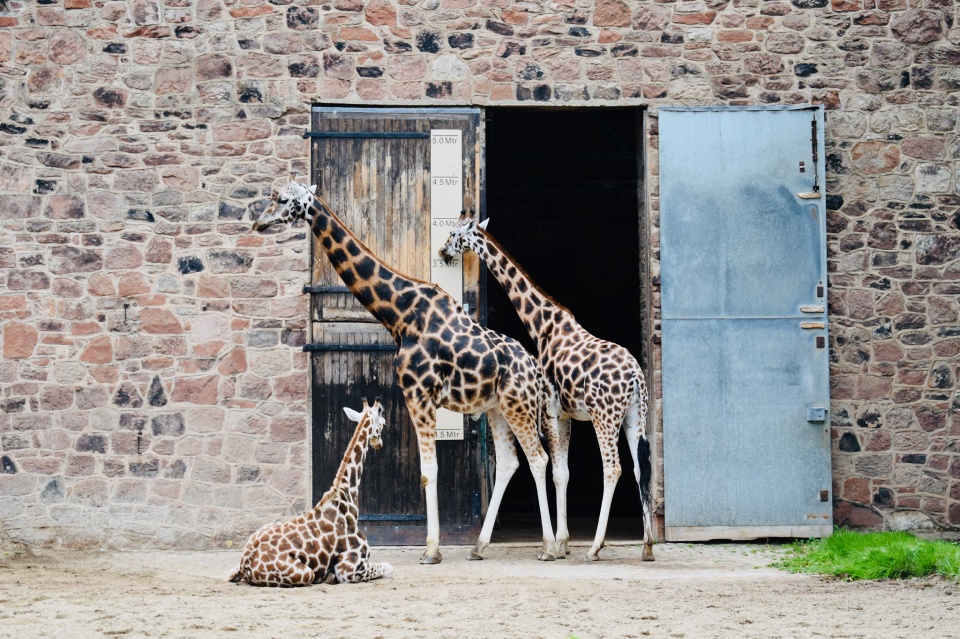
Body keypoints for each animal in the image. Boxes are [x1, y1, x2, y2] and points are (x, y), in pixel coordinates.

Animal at [228, 399, 394, 586]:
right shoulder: (349, 569)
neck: (347, 498)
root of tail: (246, 563)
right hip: (305, 573)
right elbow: (389, 567)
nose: (378, 444)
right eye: (382, 423)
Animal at [251, 181, 561, 564]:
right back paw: (479, 546)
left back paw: (549, 547)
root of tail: (535, 369)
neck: (399, 313)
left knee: (538, 459)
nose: (259, 223)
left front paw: (431, 550)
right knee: (508, 463)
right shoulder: (421, 396)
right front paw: (437, 547)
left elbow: (428, 472)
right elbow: (432, 470)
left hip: (519, 406)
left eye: (282, 199)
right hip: (497, 408)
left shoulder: (418, 394)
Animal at [439, 211, 656, 562]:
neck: (542, 324)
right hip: (635, 416)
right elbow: (564, 472)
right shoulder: (566, 415)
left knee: (613, 469)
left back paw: (595, 547)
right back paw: (648, 546)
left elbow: (554, 470)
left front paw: (555, 544)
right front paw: (563, 542)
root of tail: (636, 377)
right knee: (640, 467)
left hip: (605, 417)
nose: (443, 251)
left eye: (455, 234)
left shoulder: (550, 408)